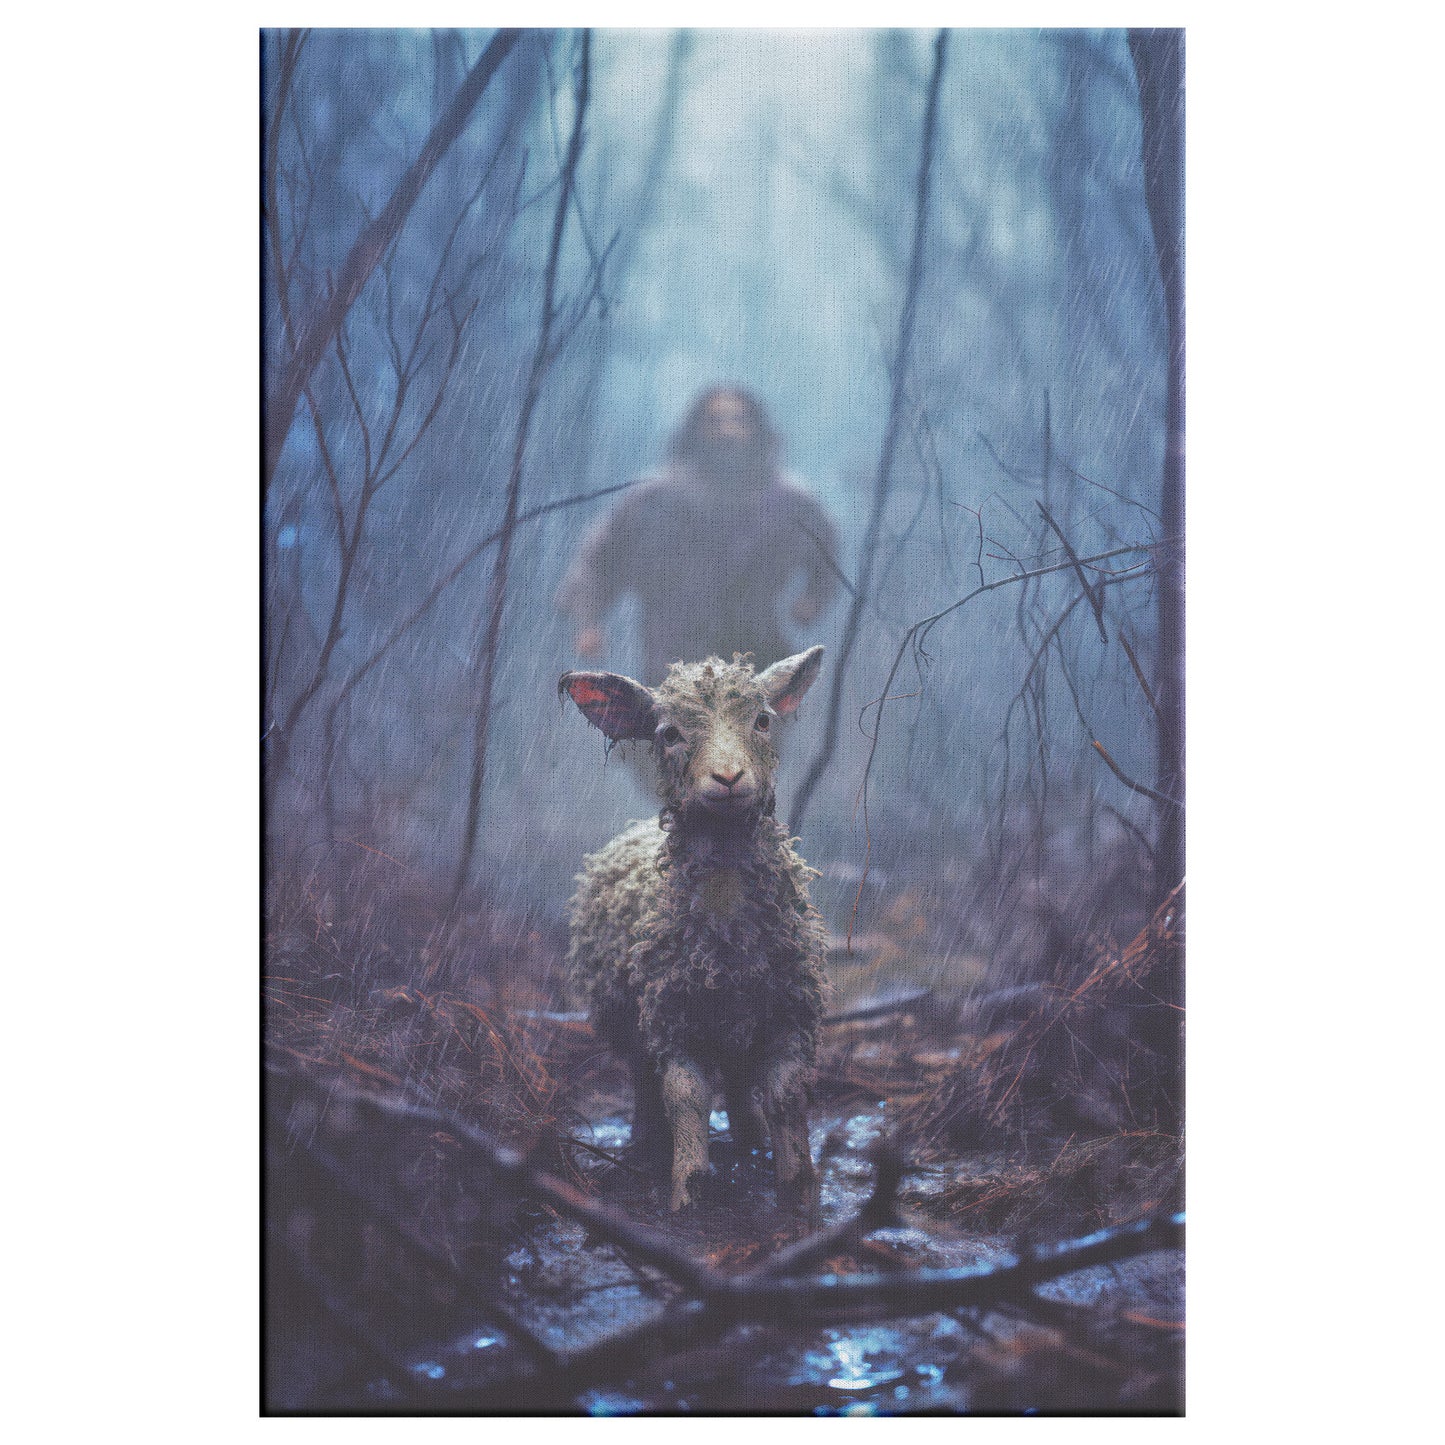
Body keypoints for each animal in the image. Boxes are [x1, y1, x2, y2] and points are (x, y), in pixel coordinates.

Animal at [559, 648, 829, 1211]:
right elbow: (685, 1094)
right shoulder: (673, 1018)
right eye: (669, 734)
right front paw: (687, 1188)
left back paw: (751, 1137)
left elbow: (786, 1093)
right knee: (645, 1080)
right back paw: (646, 1143)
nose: (727, 778)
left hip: (738, 1024)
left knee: (742, 1081)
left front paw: (799, 1188)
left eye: (763, 720)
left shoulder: (789, 1011)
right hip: (632, 1021)